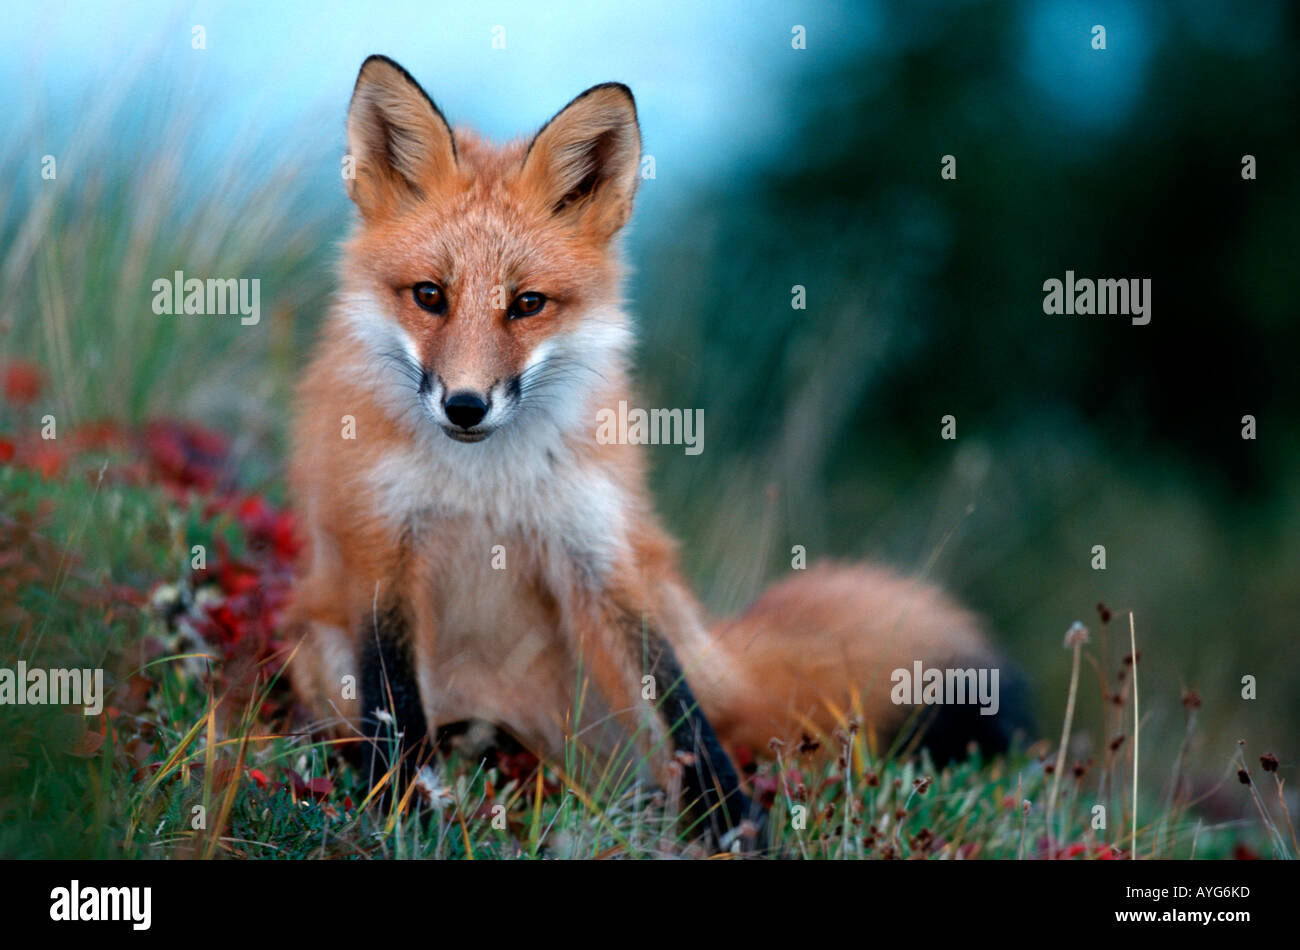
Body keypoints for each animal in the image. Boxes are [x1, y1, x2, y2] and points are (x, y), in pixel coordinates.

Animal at [287, 55, 1030, 844]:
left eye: (527, 305)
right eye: (430, 295)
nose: (465, 405)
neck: (484, 484)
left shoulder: (597, 547)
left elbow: (675, 700)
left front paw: (730, 818)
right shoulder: (379, 547)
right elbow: (393, 700)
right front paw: (399, 803)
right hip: (317, 649)